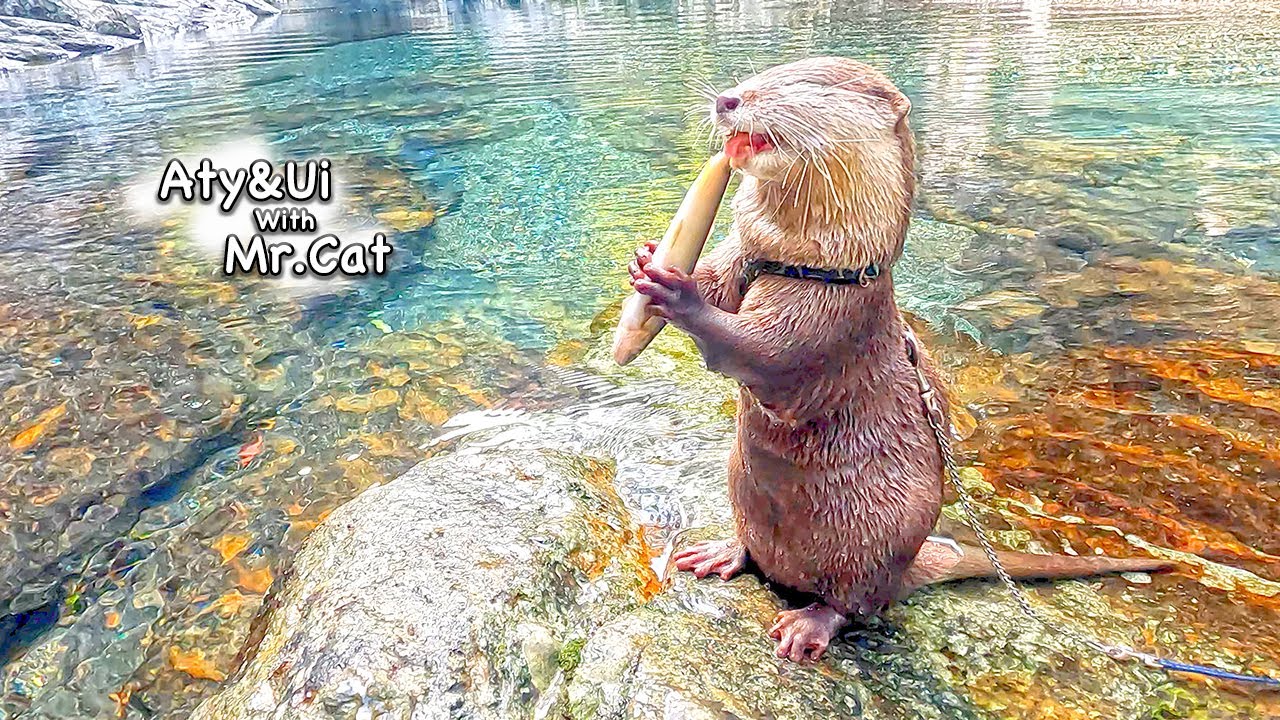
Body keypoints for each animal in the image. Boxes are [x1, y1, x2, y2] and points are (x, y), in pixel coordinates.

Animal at [629, 57, 1173, 663]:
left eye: (801, 84)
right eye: (761, 73)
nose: (727, 99)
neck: (805, 263)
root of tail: (913, 562)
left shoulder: (834, 318)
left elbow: (764, 353)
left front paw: (679, 295)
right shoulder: (740, 251)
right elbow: (718, 284)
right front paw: (649, 259)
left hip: (883, 529)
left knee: (854, 601)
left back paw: (807, 626)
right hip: (741, 486)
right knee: (756, 550)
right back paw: (721, 553)